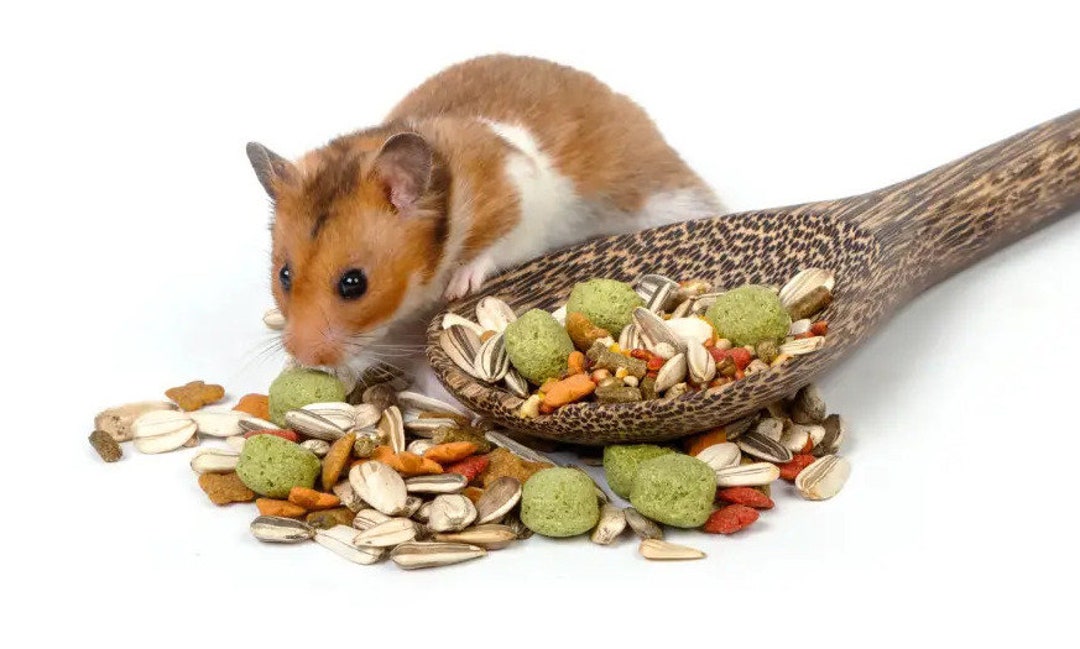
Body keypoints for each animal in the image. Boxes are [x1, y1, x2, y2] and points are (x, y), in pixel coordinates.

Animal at [247, 54, 723, 385]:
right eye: (284, 275)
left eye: (353, 284)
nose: (303, 356)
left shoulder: (517, 204)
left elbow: (490, 251)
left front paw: (460, 286)